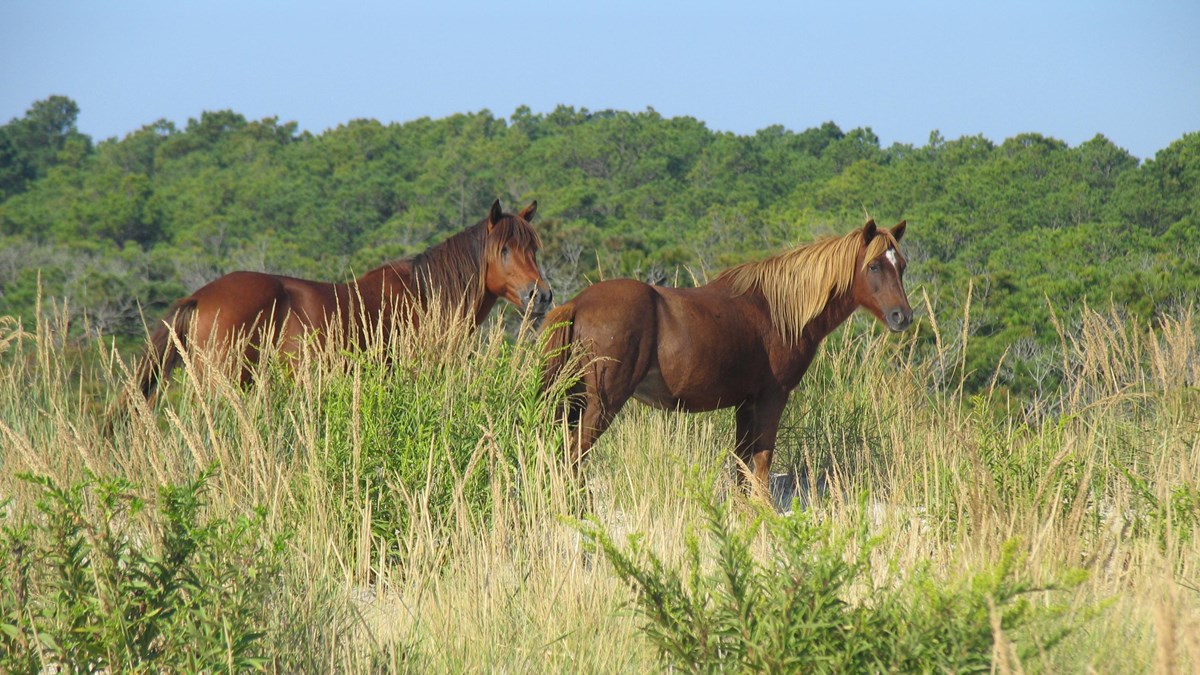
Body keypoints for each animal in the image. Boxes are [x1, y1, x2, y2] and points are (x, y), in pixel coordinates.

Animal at [540, 219, 911, 495]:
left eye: (902, 266)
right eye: (874, 266)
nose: (902, 316)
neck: (777, 310)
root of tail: (576, 304)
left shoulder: (745, 404)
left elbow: (742, 469)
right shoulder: (771, 398)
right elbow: (760, 465)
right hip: (600, 405)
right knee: (573, 457)